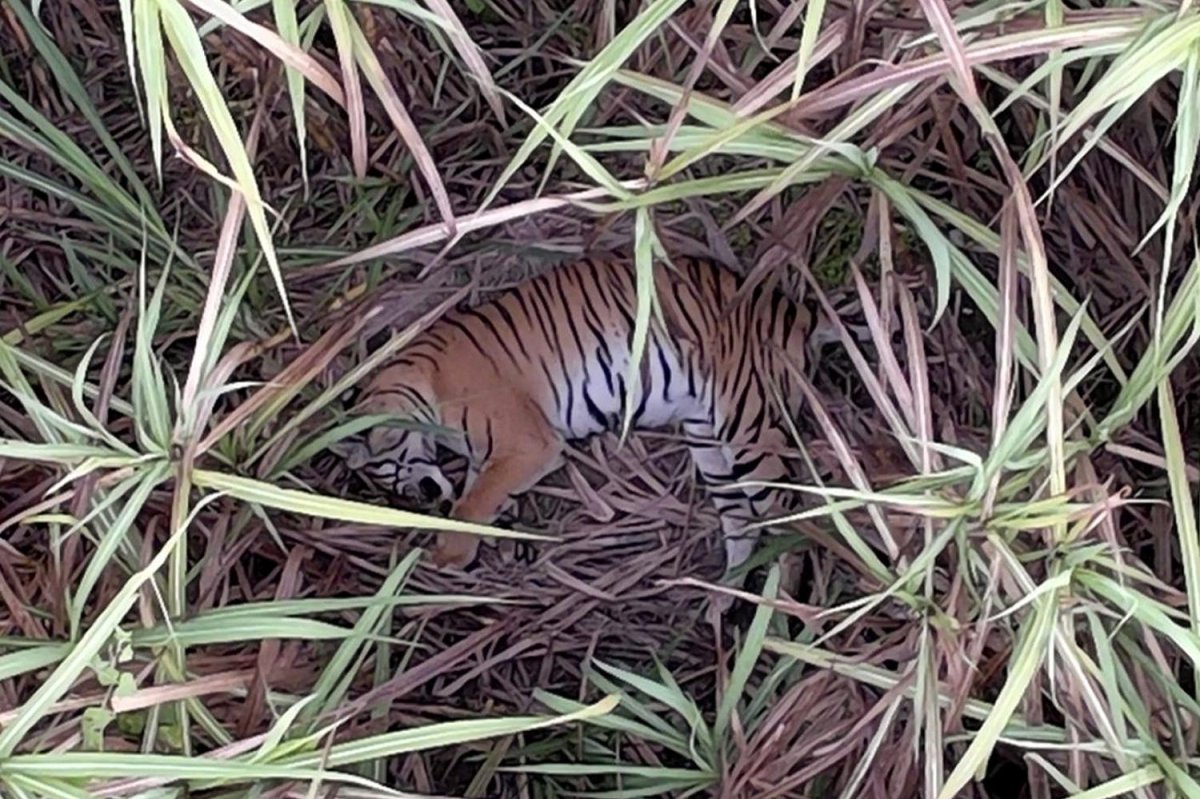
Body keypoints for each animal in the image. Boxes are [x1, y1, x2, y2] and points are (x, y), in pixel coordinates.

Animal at [332, 255, 813, 586]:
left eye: (388, 471)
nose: (424, 500)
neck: (422, 378)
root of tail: (789, 307)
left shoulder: (529, 443)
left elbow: (473, 503)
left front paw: (449, 554)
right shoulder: (493, 457)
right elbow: (484, 496)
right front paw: (501, 539)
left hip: (747, 423)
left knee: (792, 522)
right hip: (709, 443)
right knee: (743, 524)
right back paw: (728, 604)